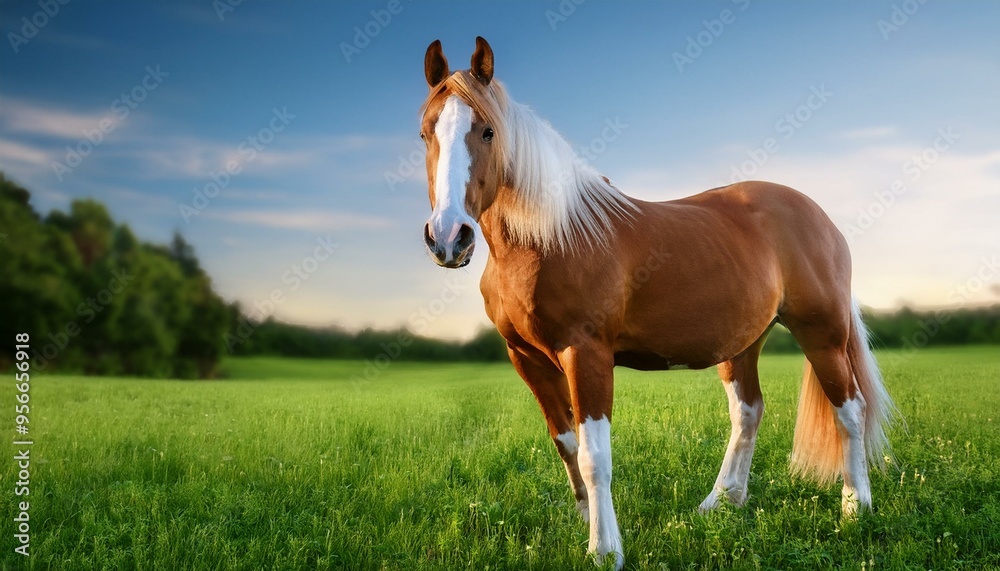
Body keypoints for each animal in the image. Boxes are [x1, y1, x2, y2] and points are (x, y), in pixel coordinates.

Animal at [417, 37, 896, 569]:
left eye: (487, 131)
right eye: (425, 133)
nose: (448, 237)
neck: (550, 235)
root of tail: (820, 217)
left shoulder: (586, 353)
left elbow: (594, 456)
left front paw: (604, 549)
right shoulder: (526, 359)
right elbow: (565, 444)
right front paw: (585, 521)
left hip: (822, 333)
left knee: (850, 410)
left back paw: (855, 509)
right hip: (743, 343)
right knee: (748, 411)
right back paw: (722, 502)